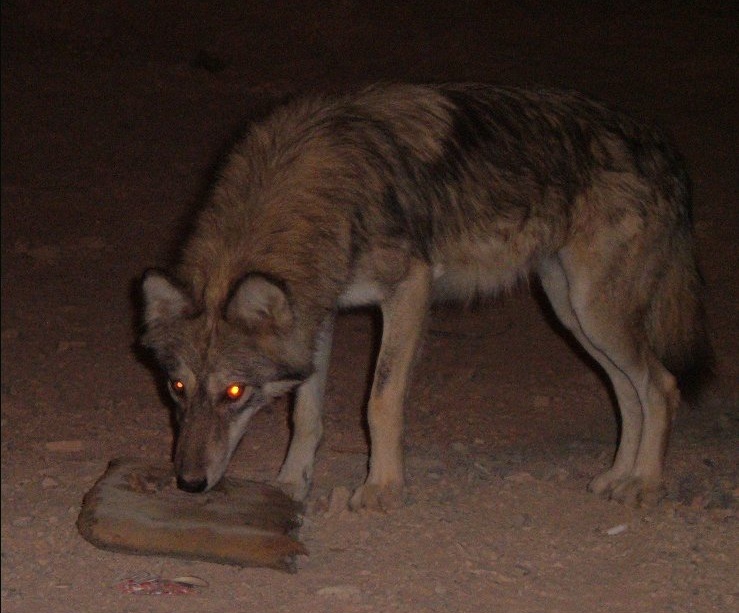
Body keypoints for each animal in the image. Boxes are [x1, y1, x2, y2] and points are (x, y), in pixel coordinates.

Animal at [140, 83, 711, 509]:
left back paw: (645, 484)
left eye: (234, 392)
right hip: (574, 314)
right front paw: (289, 484)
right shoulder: (318, 314)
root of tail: (664, 147)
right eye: (176, 387)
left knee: (661, 386)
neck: (319, 194)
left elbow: (380, 400)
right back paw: (618, 476)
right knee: (628, 394)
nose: (188, 483)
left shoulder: (410, 290)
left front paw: (382, 488)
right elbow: (306, 414)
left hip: (595, 313)